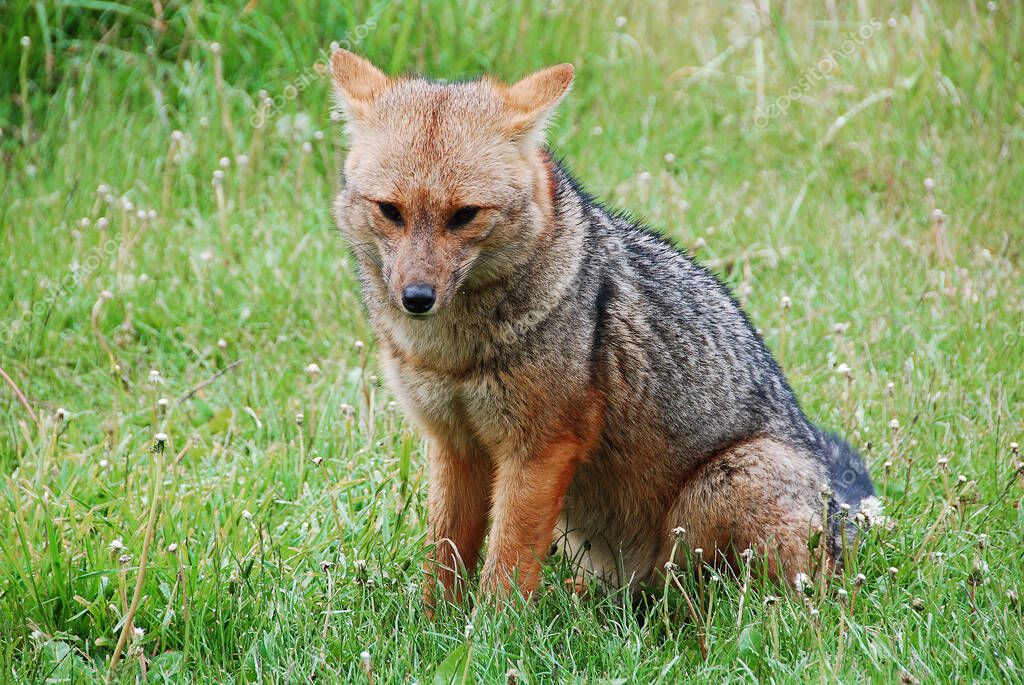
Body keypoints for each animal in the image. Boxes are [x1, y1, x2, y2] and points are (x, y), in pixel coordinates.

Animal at [328, 49, 876, 603]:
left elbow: (506, 566)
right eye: (390, 211)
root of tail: (836, 517)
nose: (416, 298)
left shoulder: (539, 449)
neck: (453, 354)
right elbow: (443, 561)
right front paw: (436, 620)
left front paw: (493, 626)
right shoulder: (455, 445)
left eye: (464, 215)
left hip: (716, 494)